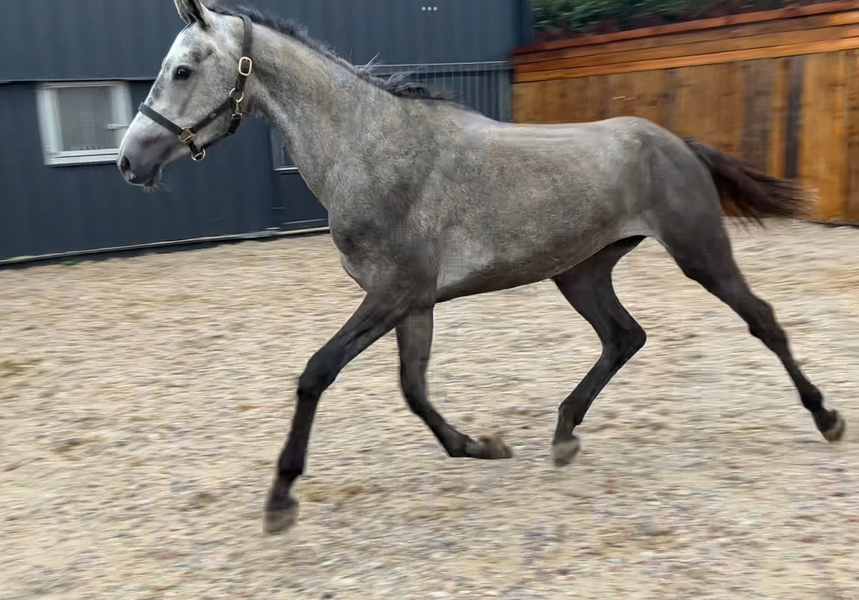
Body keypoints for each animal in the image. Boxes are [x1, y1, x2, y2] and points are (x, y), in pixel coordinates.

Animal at [117, 0, 846, 535]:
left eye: (182, 70)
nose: (131, 160)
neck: (371, 149)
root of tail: (676, 143)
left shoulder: (395, 292)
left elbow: (317, 373)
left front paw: (279, 499)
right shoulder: (412, 301)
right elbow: (414, 390)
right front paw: (483, 447)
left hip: (699, 253)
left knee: (761, 320)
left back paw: (826, 418)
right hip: (581, 271)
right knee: (624, 337)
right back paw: (562, 434)